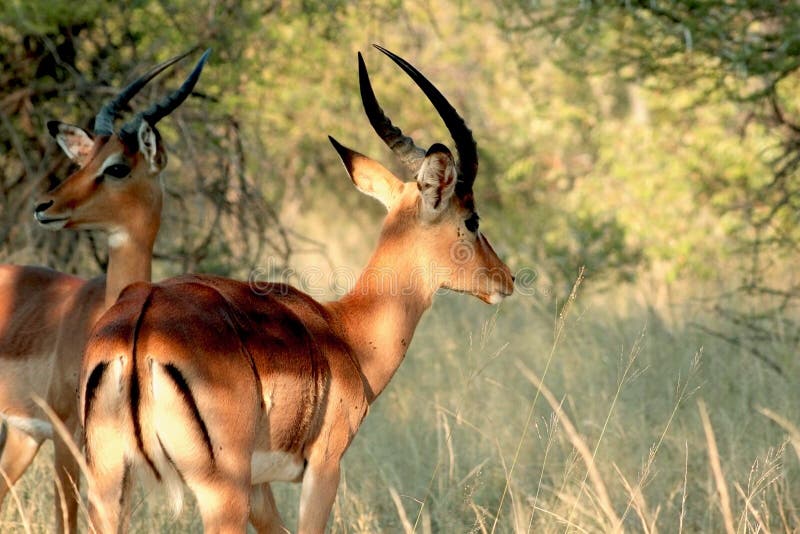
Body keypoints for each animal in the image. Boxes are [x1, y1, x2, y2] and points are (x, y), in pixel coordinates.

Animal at [0, 48, 209, 532]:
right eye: (83, 161)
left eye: (116, 167)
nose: (44, 206)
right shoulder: (65, 437)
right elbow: (68, 521)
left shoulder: (118, 455)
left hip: (21, 438)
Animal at [80, 45, 514, 533]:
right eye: (472, 219)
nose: (506, 279)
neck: (345, 332)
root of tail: (142, 320)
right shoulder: (324, 468)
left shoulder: (260, 488)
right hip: (220, 493)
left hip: (108, 487)